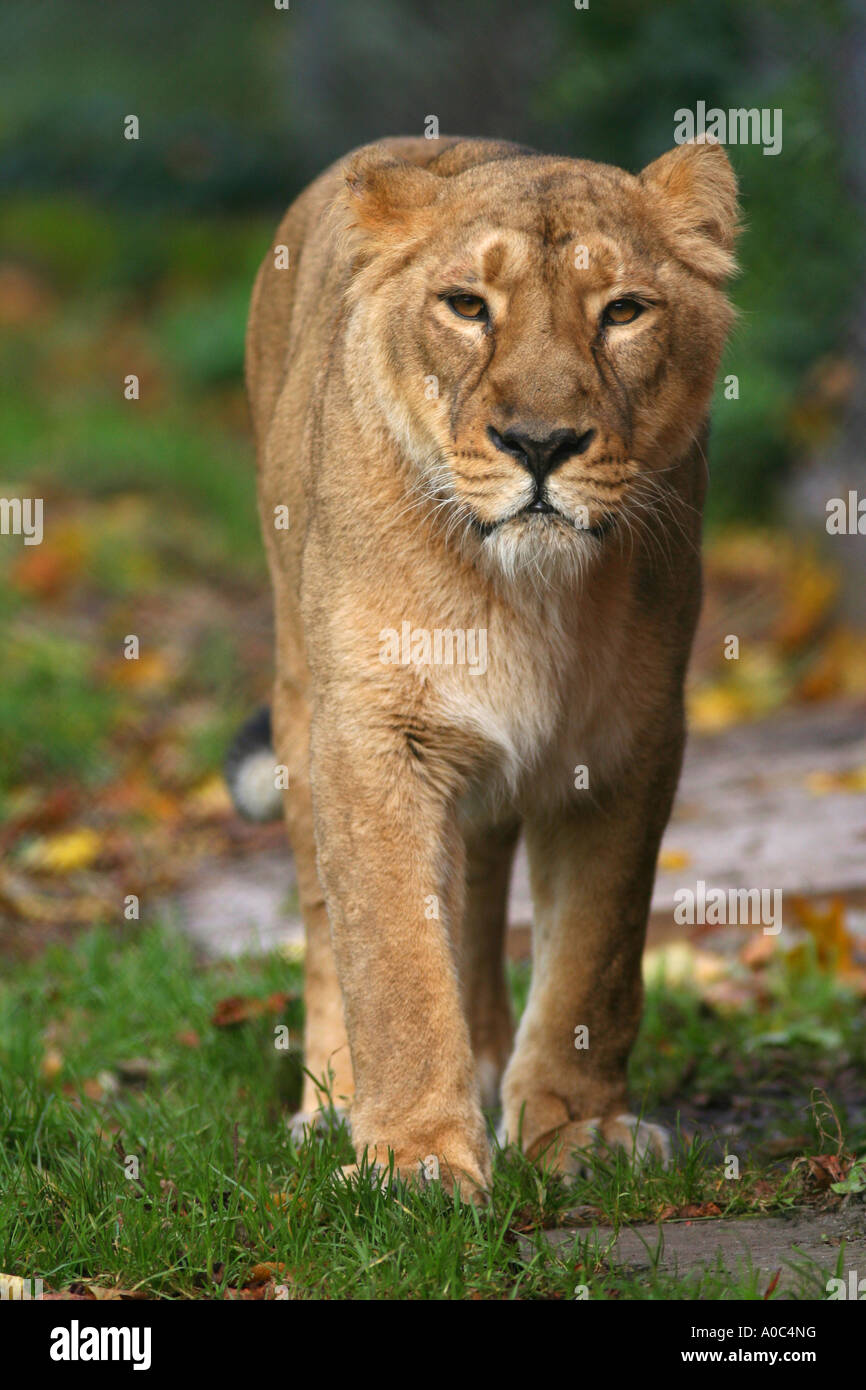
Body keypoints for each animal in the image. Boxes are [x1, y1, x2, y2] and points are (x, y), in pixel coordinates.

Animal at [230, 135, 739, 1194]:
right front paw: (415, 1159)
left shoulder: (626, 743)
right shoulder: (373, 733)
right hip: (301, 700)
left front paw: (574, 1131)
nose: (539, 445)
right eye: (467, 305)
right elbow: (392, 956)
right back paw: (328, 1107)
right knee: (327, 918)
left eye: (622, 310)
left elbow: (594, 960)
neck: (524, 593)